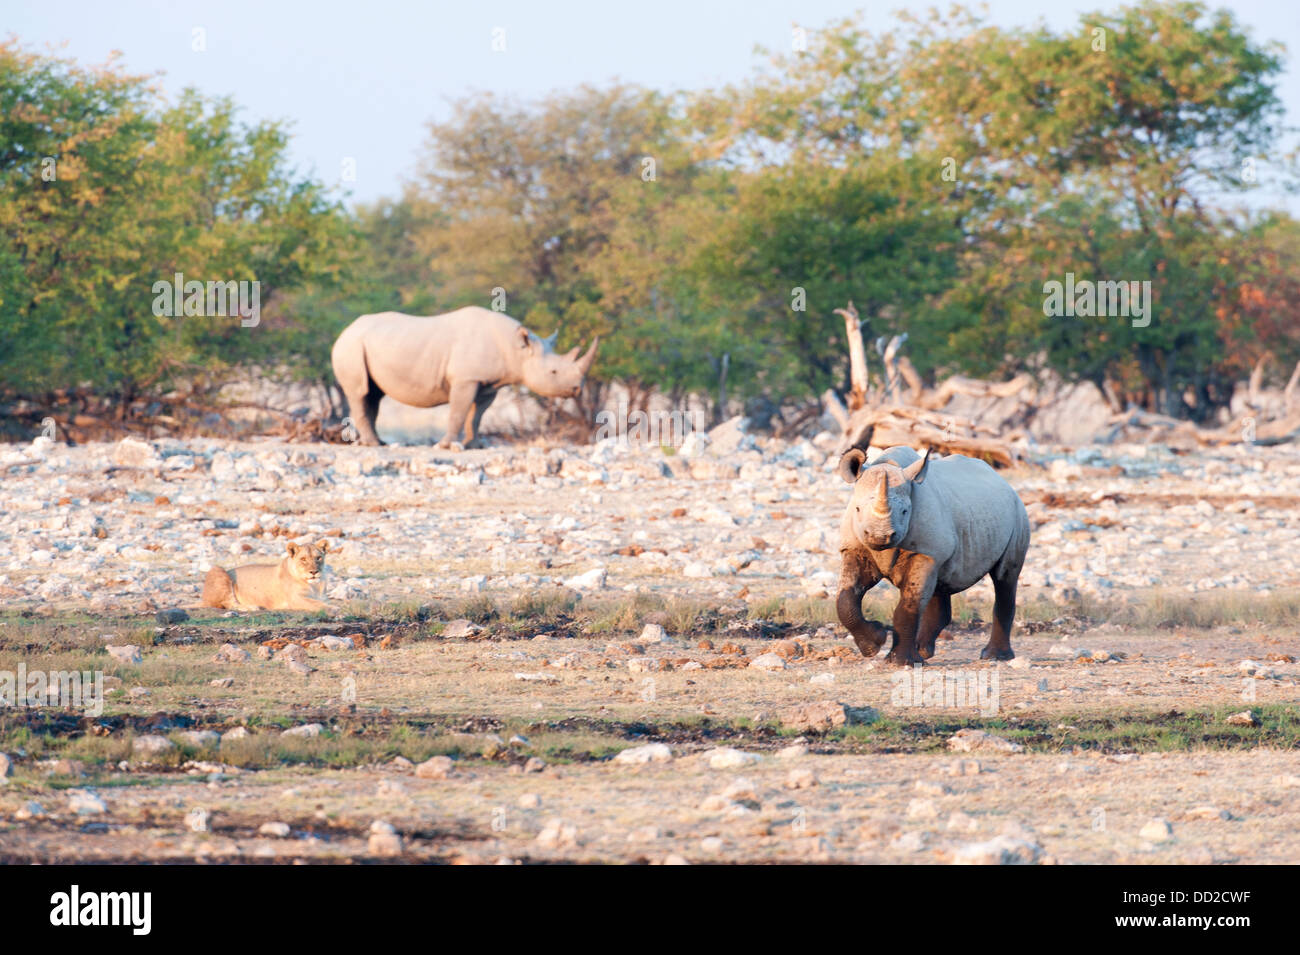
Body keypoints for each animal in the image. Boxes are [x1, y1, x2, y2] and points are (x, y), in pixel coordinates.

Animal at [331, 307, 598, 448]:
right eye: (553, 372)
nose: (577, 389)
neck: (517, 349)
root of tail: (344, 331)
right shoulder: (465, 378)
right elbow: (458, 412)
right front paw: (446, 445)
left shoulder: (488, 383)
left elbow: (476, 415)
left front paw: (475, 445)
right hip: (350, 347)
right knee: (360, 392)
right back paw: (373, 444)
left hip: (366, 345)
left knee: (373, 395)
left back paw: (379, 442)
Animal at [835, 443, 1030, 665]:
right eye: (858, 509)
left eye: (905, 511)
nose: (880, 536)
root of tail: (1004, 481)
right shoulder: (855, 549)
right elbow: (845, 600)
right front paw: (873, 645)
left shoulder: (926, 553)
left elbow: (909, 605)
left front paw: (900, 662)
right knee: (941, 582)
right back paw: (924, 651)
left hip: (1018, 513)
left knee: (1005, 577)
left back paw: (995, 656)